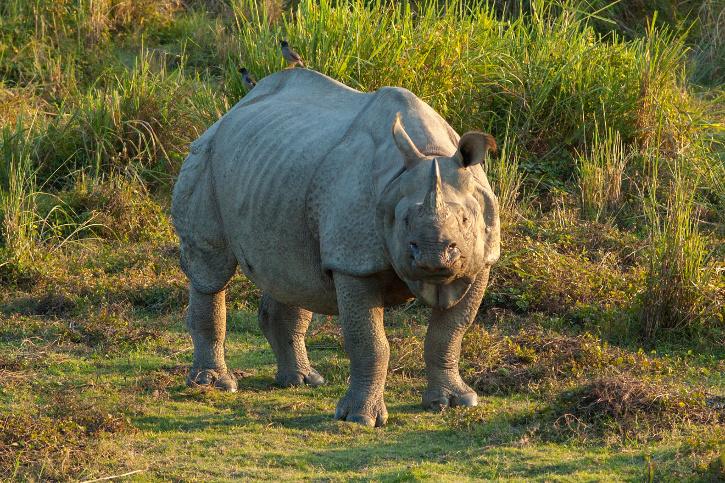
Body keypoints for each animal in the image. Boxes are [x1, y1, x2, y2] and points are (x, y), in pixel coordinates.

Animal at [171, 68, 500, 427]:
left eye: (465, 219)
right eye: (404, 220)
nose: (433, 256)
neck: (429, 152)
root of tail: (229, 113)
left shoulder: (481, 261)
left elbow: (449, 333)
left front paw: (457, 402)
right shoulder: (352, 261)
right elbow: (369, 342)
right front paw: (359, 418)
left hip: (276, 169)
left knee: (293, 273)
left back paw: (303, 381)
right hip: (205, 155)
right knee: (211, 270)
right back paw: (215, 384)